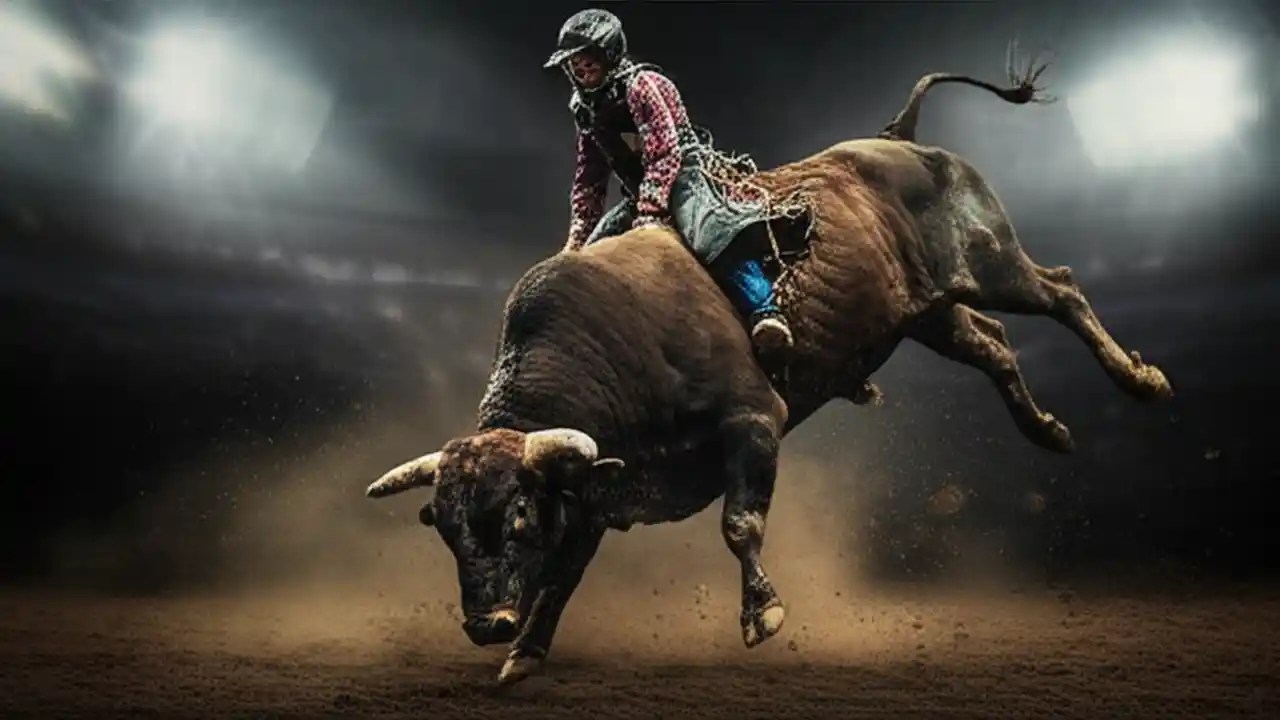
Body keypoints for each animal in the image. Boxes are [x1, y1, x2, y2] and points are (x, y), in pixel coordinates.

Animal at [363, 55, 1172, 685]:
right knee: (996, 346)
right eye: (444, 526)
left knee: (1062, 291)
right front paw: (525, 654)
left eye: (519, 515)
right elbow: (564, 573)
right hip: (928, 313)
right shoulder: (593, 486)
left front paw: (764, 612)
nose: (487, 624)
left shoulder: (752, 420)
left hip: (991, 259)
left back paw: (1140, 380)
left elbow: (740, 523)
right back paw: (1048, 431)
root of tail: (901, 143)